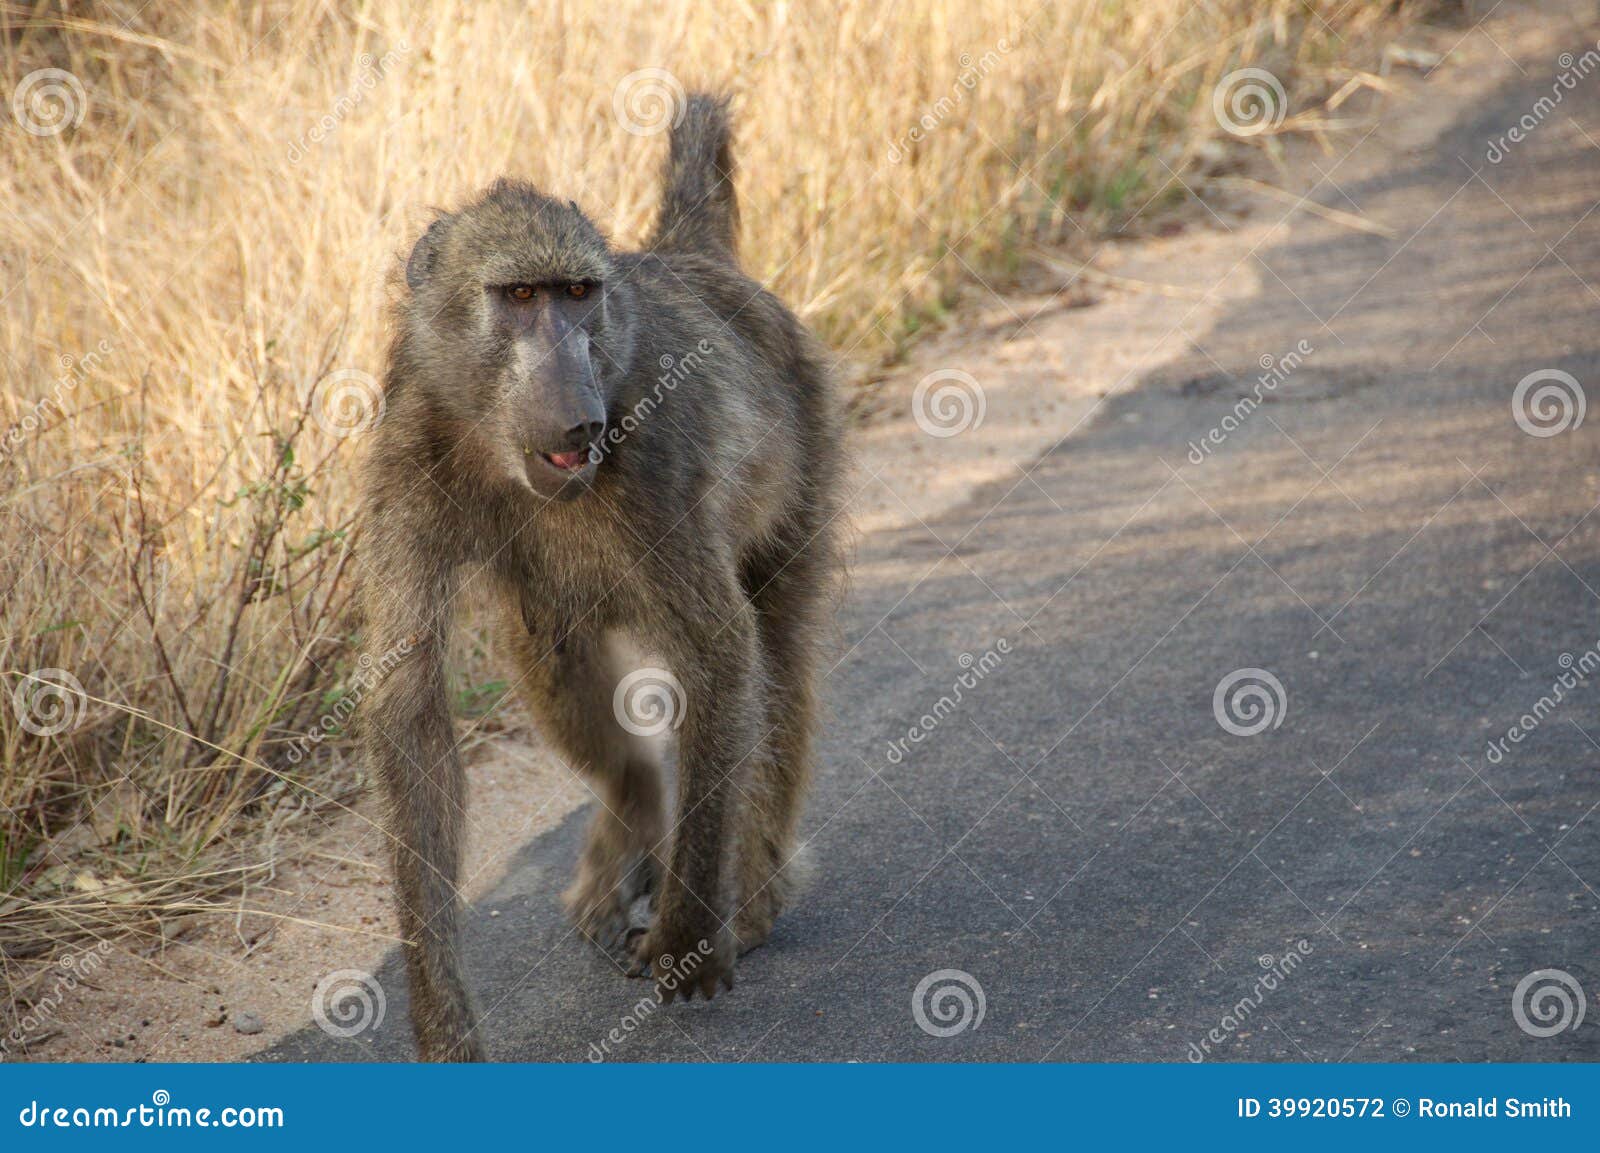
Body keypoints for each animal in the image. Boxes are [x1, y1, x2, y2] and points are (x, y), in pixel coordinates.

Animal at [358, 94, 843, 1061]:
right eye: (519, 297)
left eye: (579, 294)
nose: (579, 413)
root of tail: (694, 260)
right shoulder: (408, 452)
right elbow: (412, 705)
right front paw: (443, 1021)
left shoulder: (658, 437)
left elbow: (719, 649)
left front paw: (692, 937)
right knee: (551, 648)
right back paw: (634, 814)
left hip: (804, 441)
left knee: (775, 648)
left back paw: (751, 900)